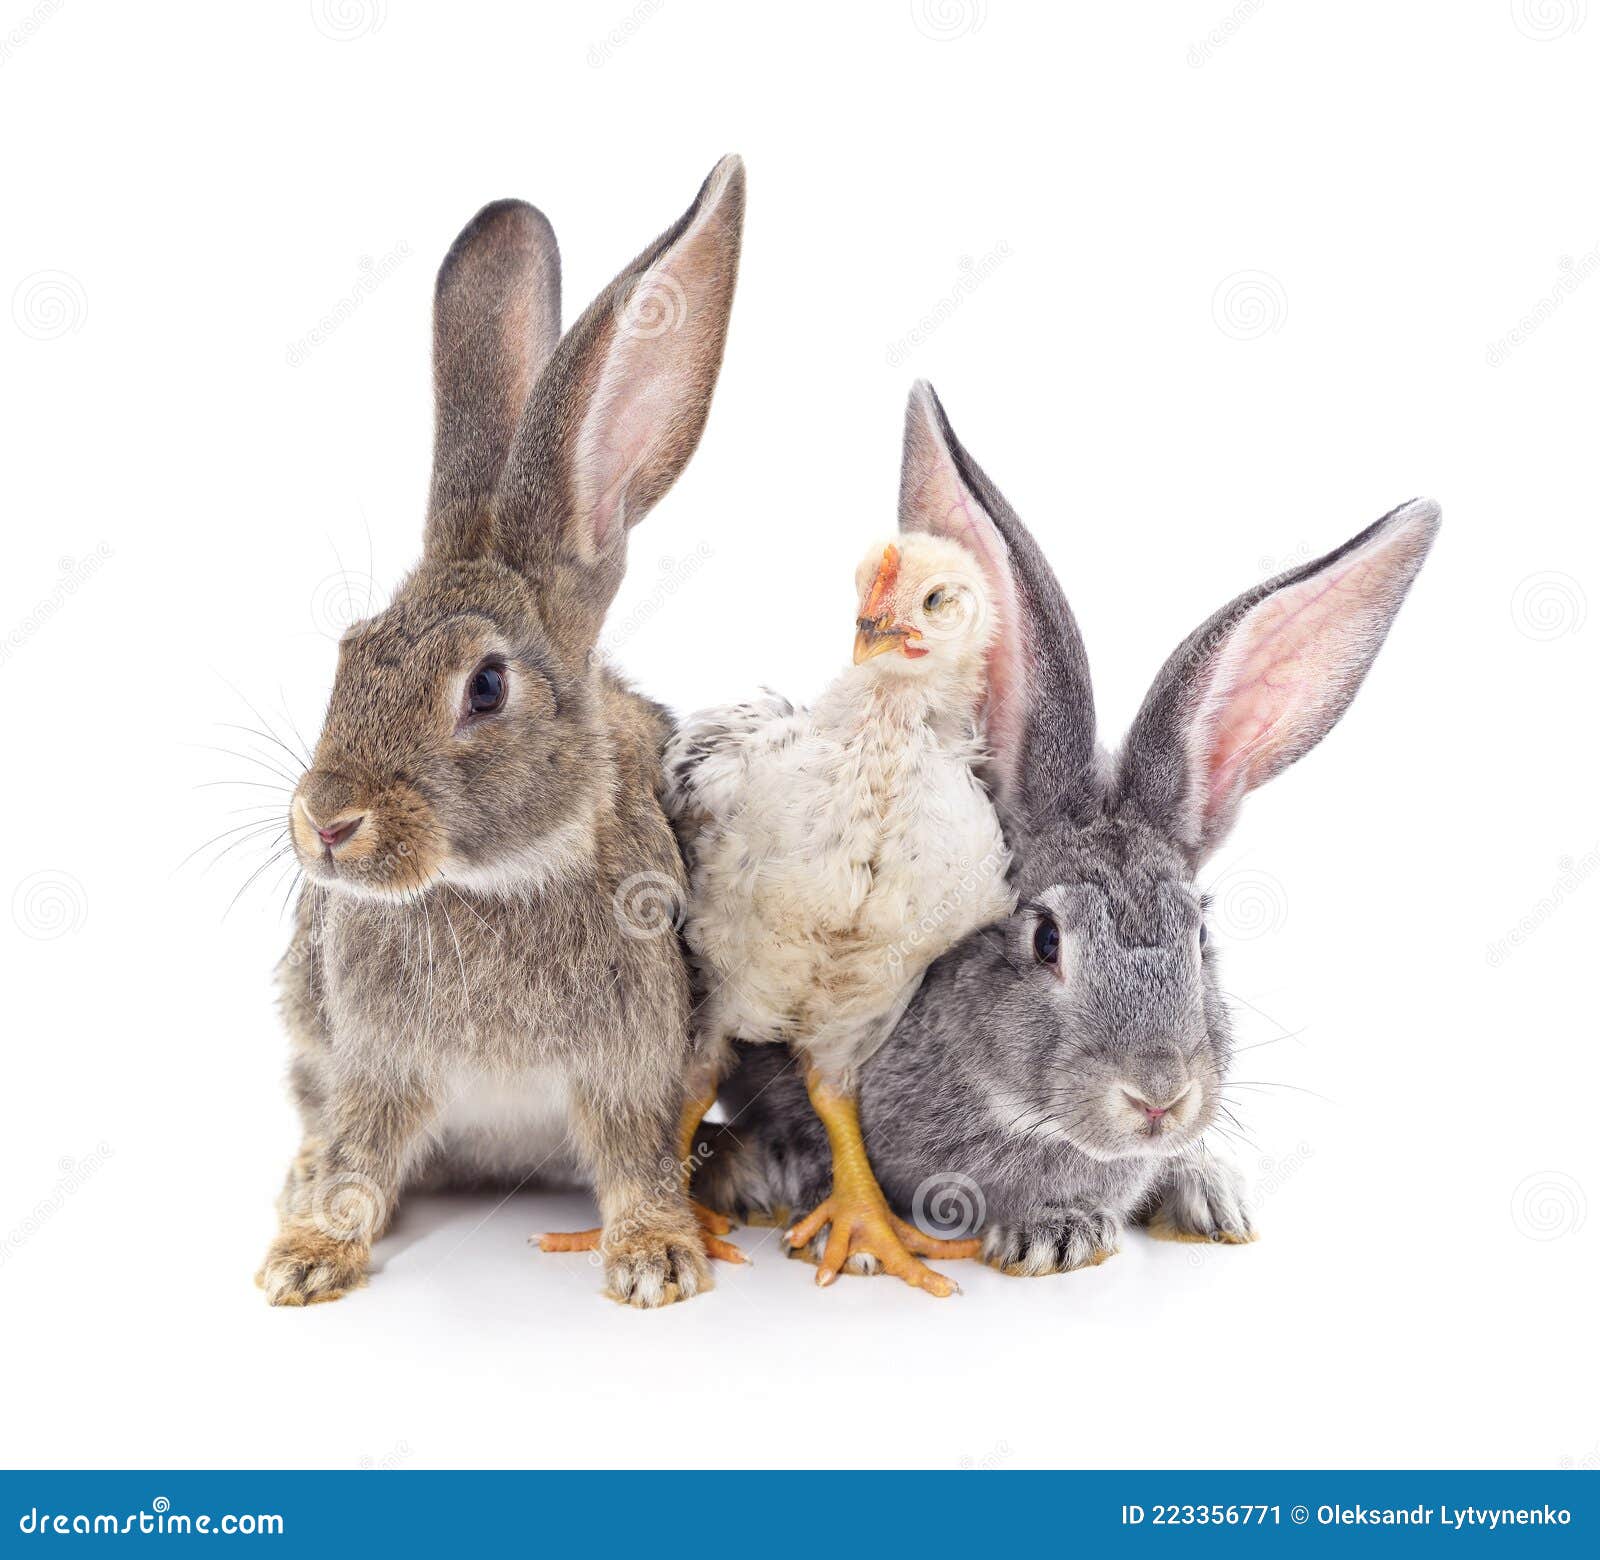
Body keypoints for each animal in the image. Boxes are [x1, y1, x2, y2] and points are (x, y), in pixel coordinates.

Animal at [257, 155, 745, 1309]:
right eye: (351, 651)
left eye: (485, 688)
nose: (326, 824)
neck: (499, 878)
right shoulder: (376, 1069)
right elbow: (360, 1158)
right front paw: (305, 1259)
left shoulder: (629, 1068)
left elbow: (634, 1157)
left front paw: (656, 1259)